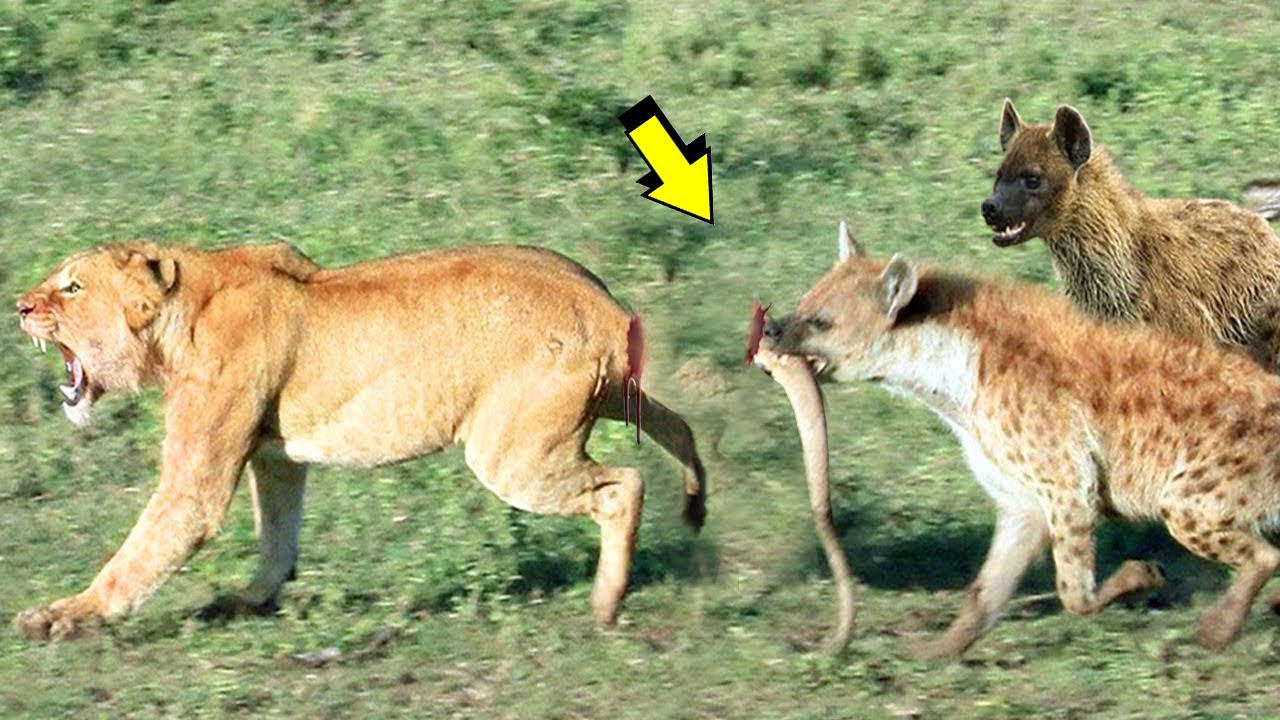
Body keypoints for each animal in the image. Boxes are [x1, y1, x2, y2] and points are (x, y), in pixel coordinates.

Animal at [13, 241, 707, 641]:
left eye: (72, 287)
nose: (19, 306)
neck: (180, 314)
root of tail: (601, 305)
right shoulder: (275, 458)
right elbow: (277, 535)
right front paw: (251, 600)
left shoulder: (197, 481)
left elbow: (139, 554)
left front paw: (61, 615)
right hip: (602, 403)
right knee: (679, 425)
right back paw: (695, 506)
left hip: (510, 456)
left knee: (625, 484)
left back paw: (606, 602)